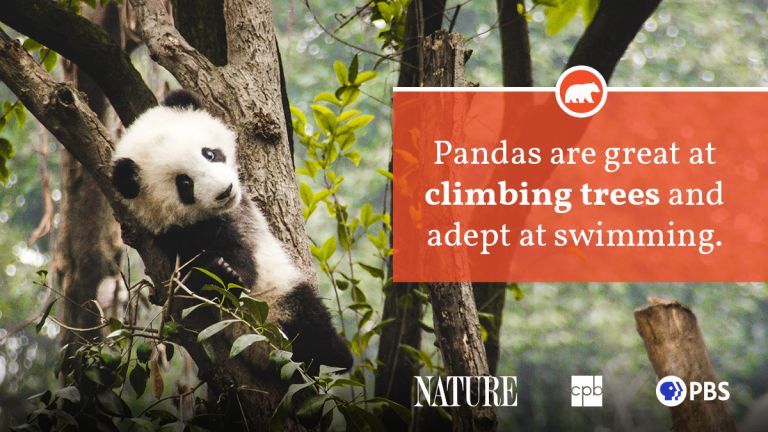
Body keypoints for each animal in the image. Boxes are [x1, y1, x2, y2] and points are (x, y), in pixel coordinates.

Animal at [111, 89, 353, 371]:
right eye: (184, 183)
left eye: (209, 153)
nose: (225, 191)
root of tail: (266, 349)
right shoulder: (176, 235)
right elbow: (209, 270)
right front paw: (223, 270)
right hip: (279, 302)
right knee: (311, 320)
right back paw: (338, 354)